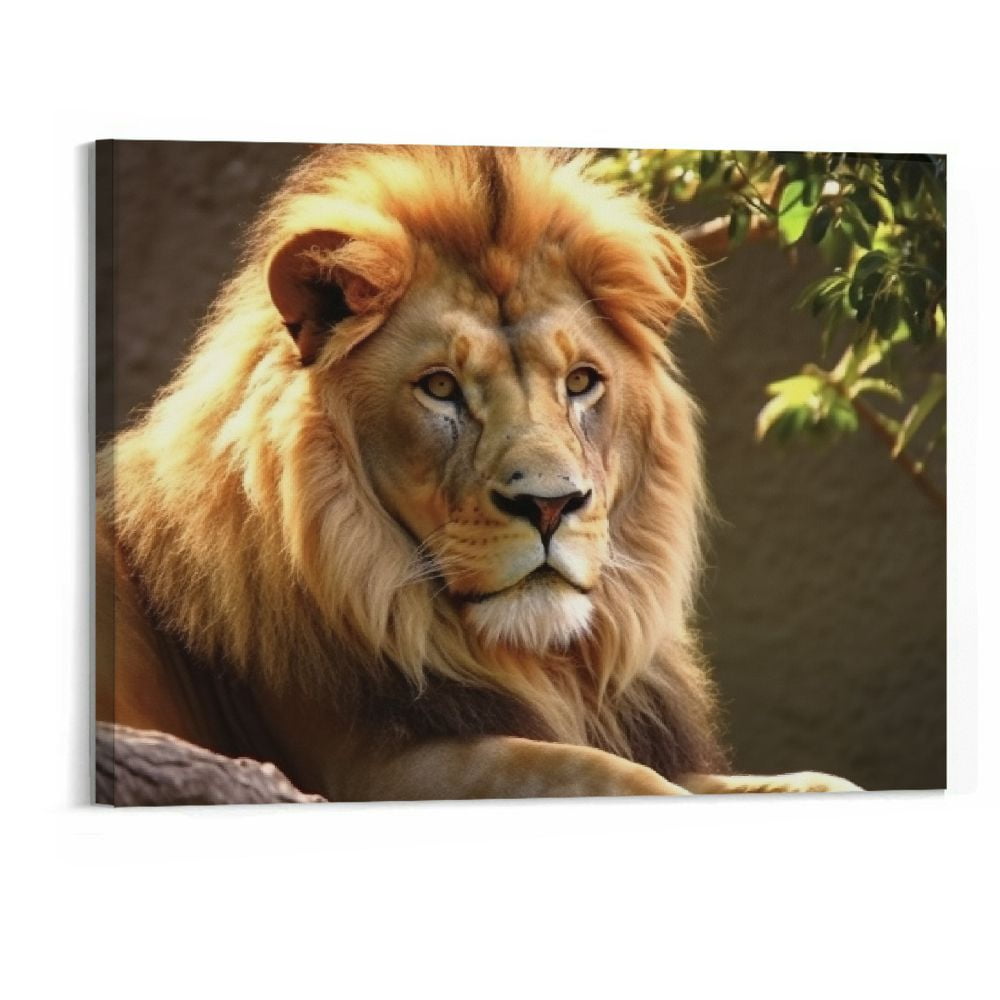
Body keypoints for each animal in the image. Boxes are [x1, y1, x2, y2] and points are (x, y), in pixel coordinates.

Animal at [96, 144, 860, 800]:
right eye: (440, 387)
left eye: (581, 382)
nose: (551, 506)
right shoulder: (367, 769)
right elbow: (603, 774)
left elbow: (804, 780)